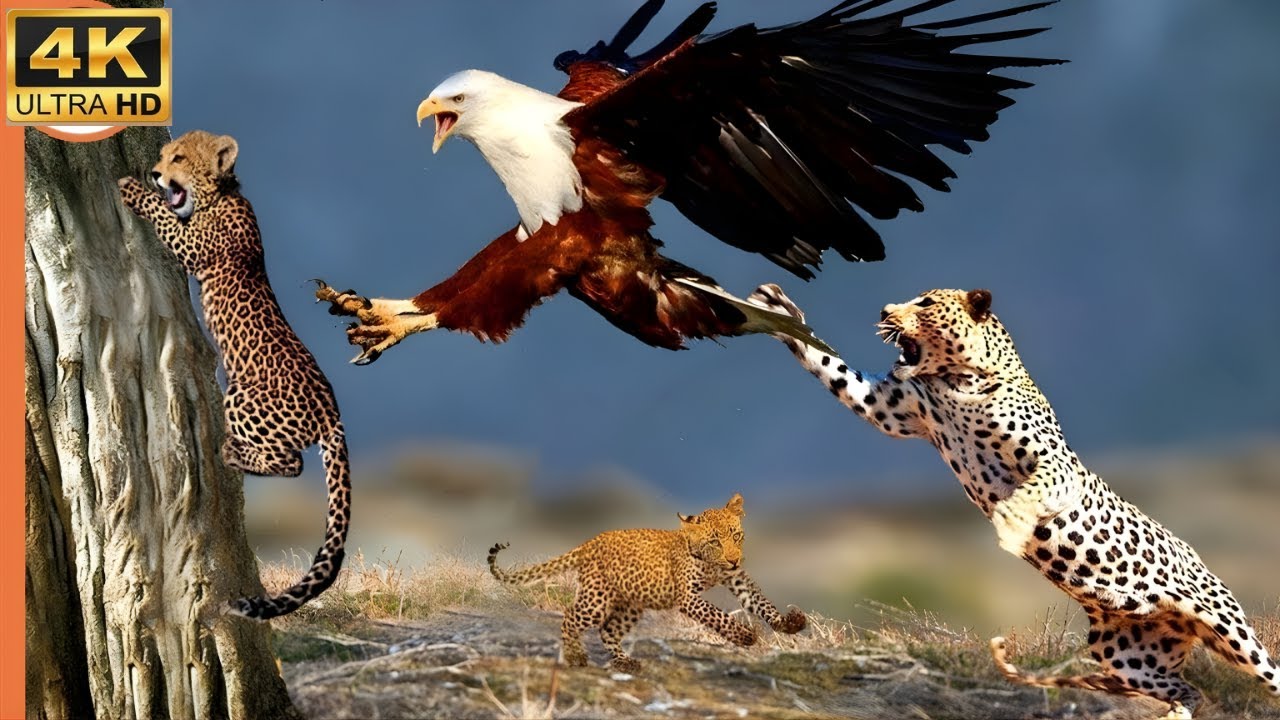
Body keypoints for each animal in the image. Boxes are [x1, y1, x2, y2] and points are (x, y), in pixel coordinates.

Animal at [118, 130, 351, 620]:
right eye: (164, 155)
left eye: (177, 158)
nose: (155, 172)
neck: (222, 194)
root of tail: (332, 414)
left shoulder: (190, 245)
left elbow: (162, 215)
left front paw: (133, 189)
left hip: (243, 396)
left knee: (291, 463)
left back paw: (231, 452)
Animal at [488, 493, 807, 672]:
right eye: (715, 541)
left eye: (736, 535)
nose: (734, 559)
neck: (712, 565)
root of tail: (590, 542)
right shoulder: (688, 597)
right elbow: (717, 616)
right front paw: (744, 636)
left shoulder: (739, 579)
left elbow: (761, 602)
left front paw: (788, 623)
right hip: (596, 599)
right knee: (570, 617)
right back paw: (576, 657)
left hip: (630, 604)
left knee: (608, 631)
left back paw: (624, 661)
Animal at [747, 283, 1279, 718]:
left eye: (926, 303)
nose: (883, 310)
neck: (955, 378)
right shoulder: (890, 409)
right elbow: (830, 366)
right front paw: (776, 307)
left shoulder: (1055, 468)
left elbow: (1030, 492)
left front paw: (1009, 526)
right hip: (1126, 655)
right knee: (1189, 690)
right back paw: (1174, 714)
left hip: (1230, 631)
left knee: (1267, 672)